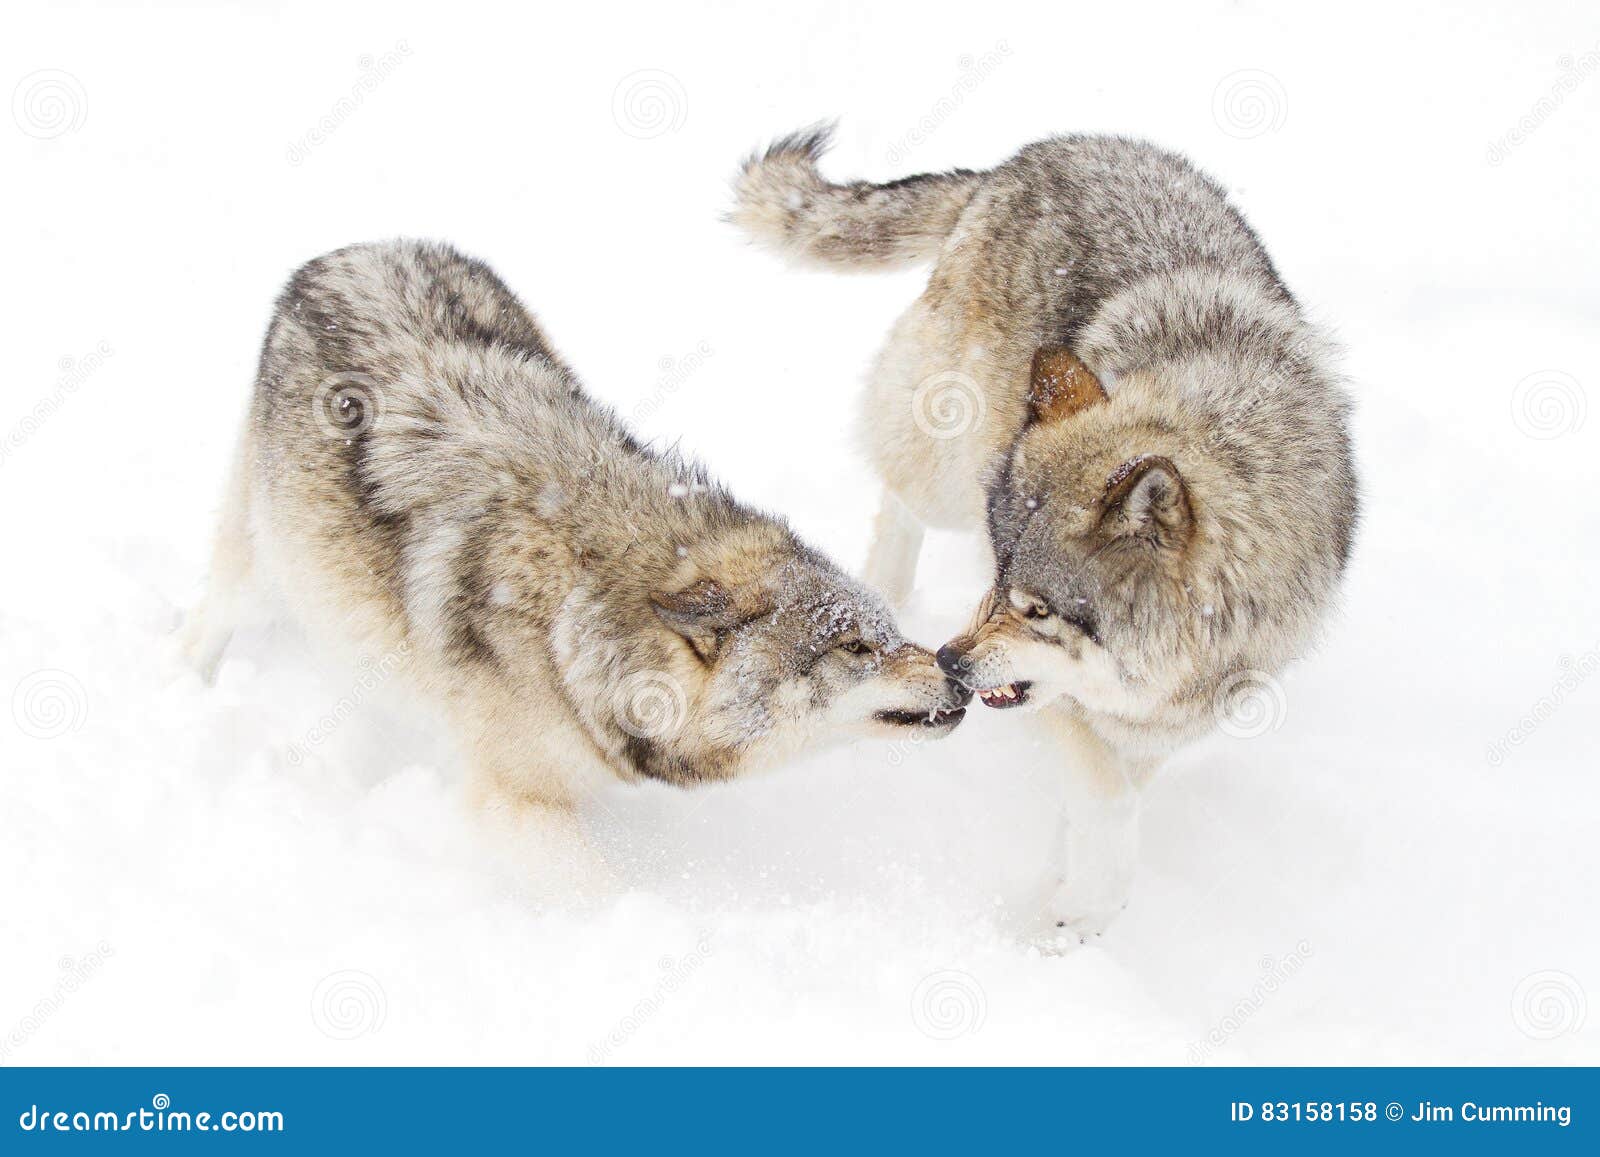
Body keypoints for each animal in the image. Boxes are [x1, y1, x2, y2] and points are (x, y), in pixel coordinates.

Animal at [184, 239, 969, 844]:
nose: (959, 675)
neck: (575, 613)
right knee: (208, 622)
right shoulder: (517, 805)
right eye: (854, 648)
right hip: (262, 573)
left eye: (890, 629)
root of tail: (346, 251)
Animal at [732, 128, 1357, 937]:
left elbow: (1100, 807)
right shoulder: (1070, 710)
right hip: (949, 469)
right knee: (898, 500)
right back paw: (883, 594)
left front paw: (1062, 910)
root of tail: (1025, 158)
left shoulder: (1159, 727)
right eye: (997, 578)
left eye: (1034, 608)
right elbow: (1105, 802)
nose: (950, 659)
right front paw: (1079, 914)